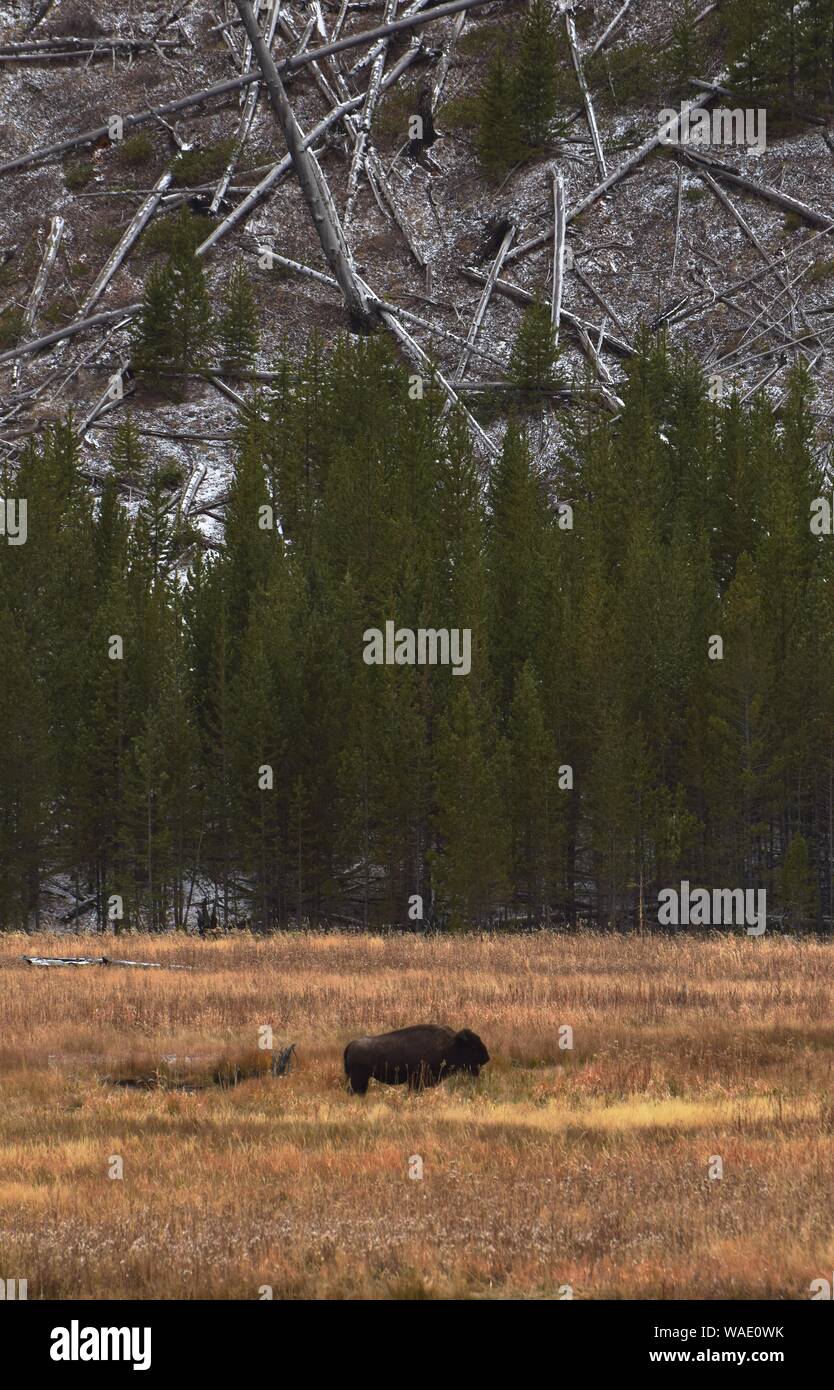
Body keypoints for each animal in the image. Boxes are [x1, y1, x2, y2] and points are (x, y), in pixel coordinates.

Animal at [343, 1024, 490, 1095]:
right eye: (472, 1044)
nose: (486, 1057)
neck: (450, 1044)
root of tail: (351, 1044)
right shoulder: (417, 1079)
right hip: (359, 1078)